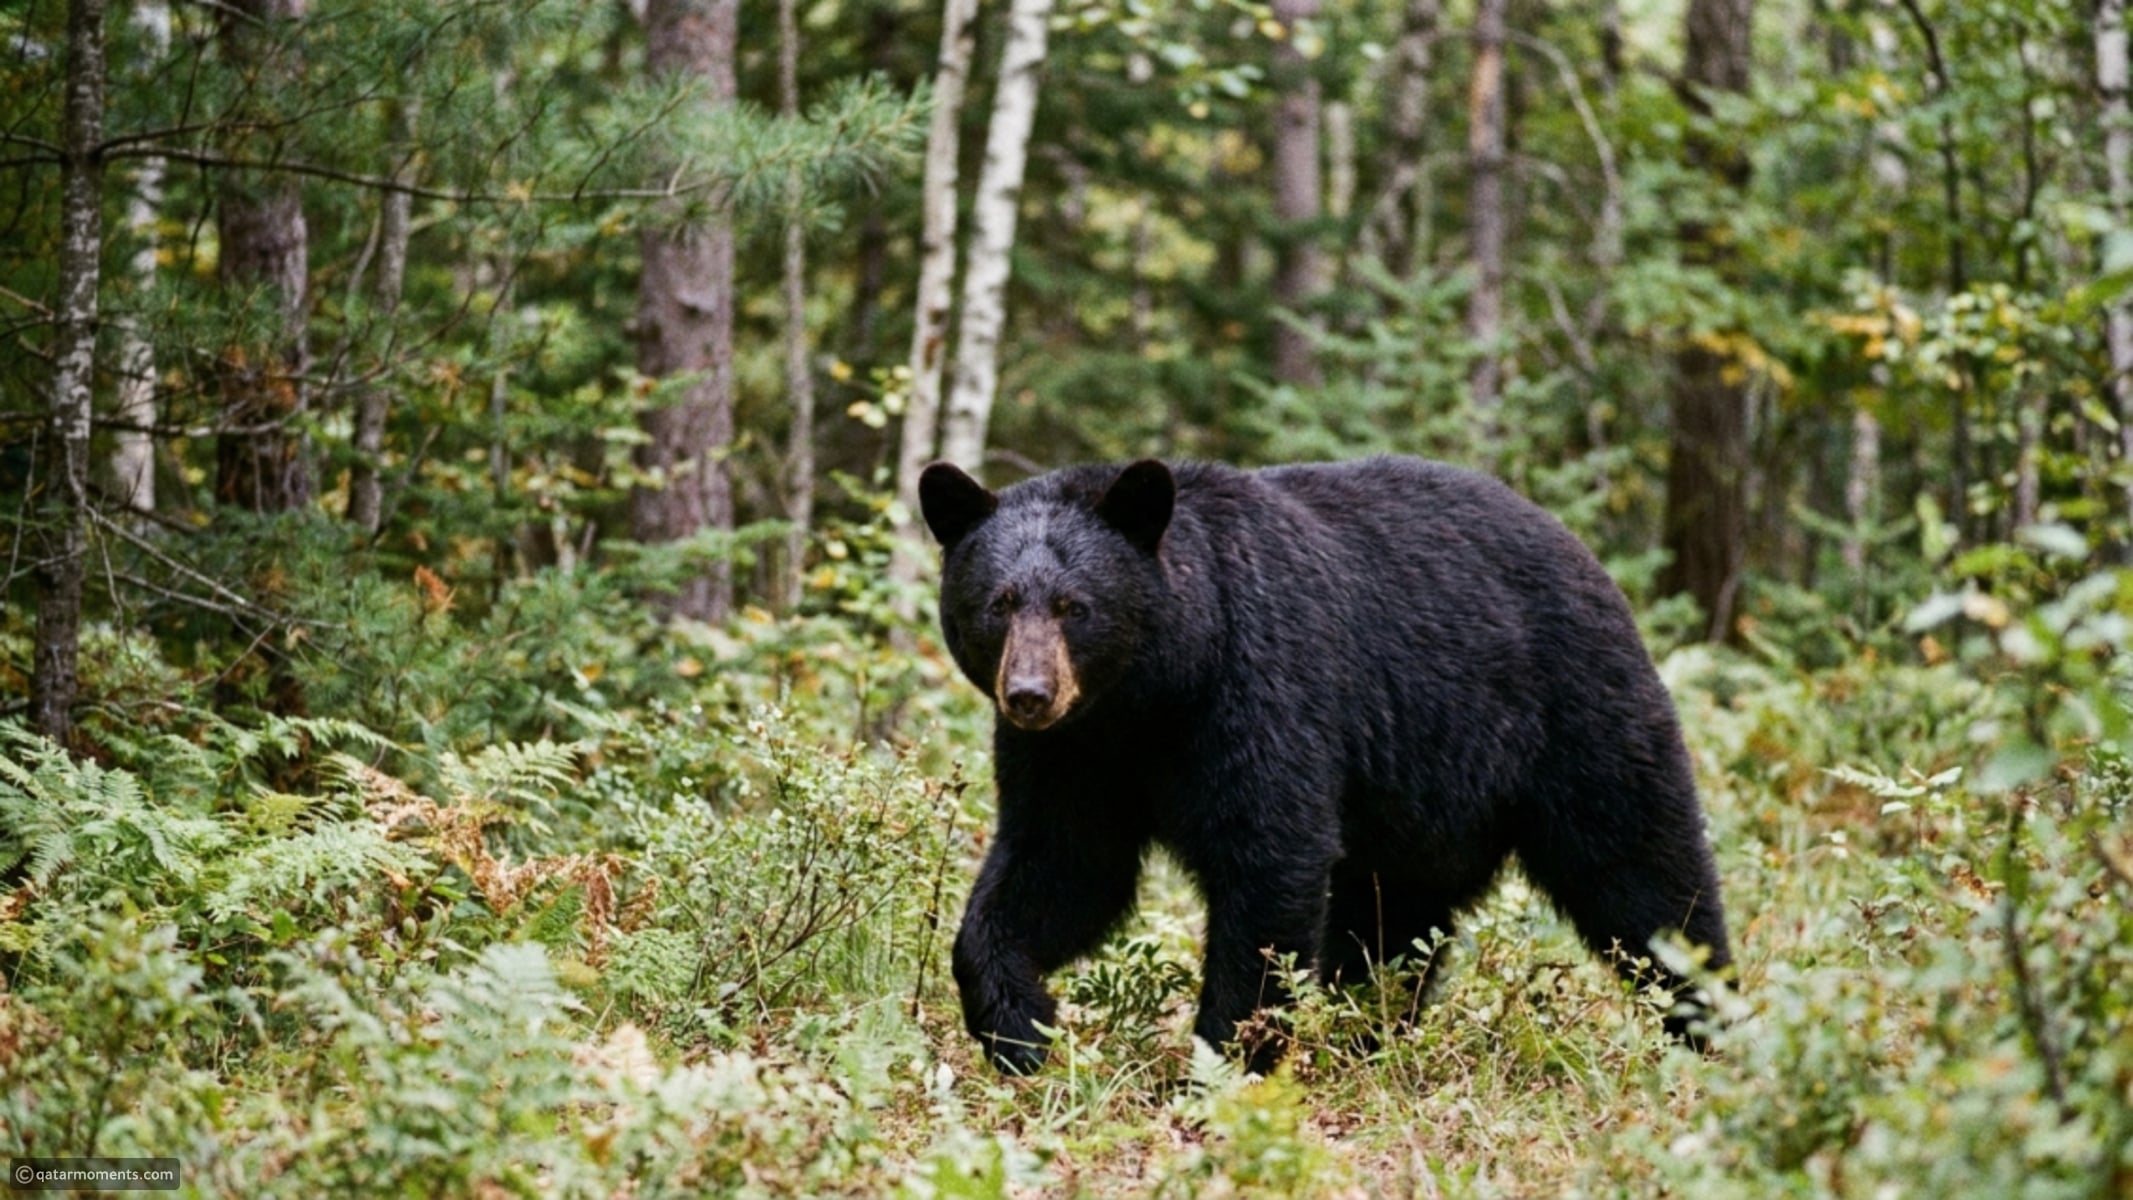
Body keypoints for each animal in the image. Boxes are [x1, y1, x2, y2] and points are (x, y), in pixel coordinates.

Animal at [918, 455, 1731, 1075]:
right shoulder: (1074, 757)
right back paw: (1363, 1034)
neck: (1153, 695)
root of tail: (1586, 554)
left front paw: (1221, 1065)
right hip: (1423, 804)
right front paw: (1020, 1028)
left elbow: (1268, 863)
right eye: (998, 603)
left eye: (1074, 606)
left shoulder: (1259, 694)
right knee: (1390, 924)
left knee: (1645, 879)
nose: (1030, 693)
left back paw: (1707, 1030)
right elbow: (1061, 868)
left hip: (1576, 720)